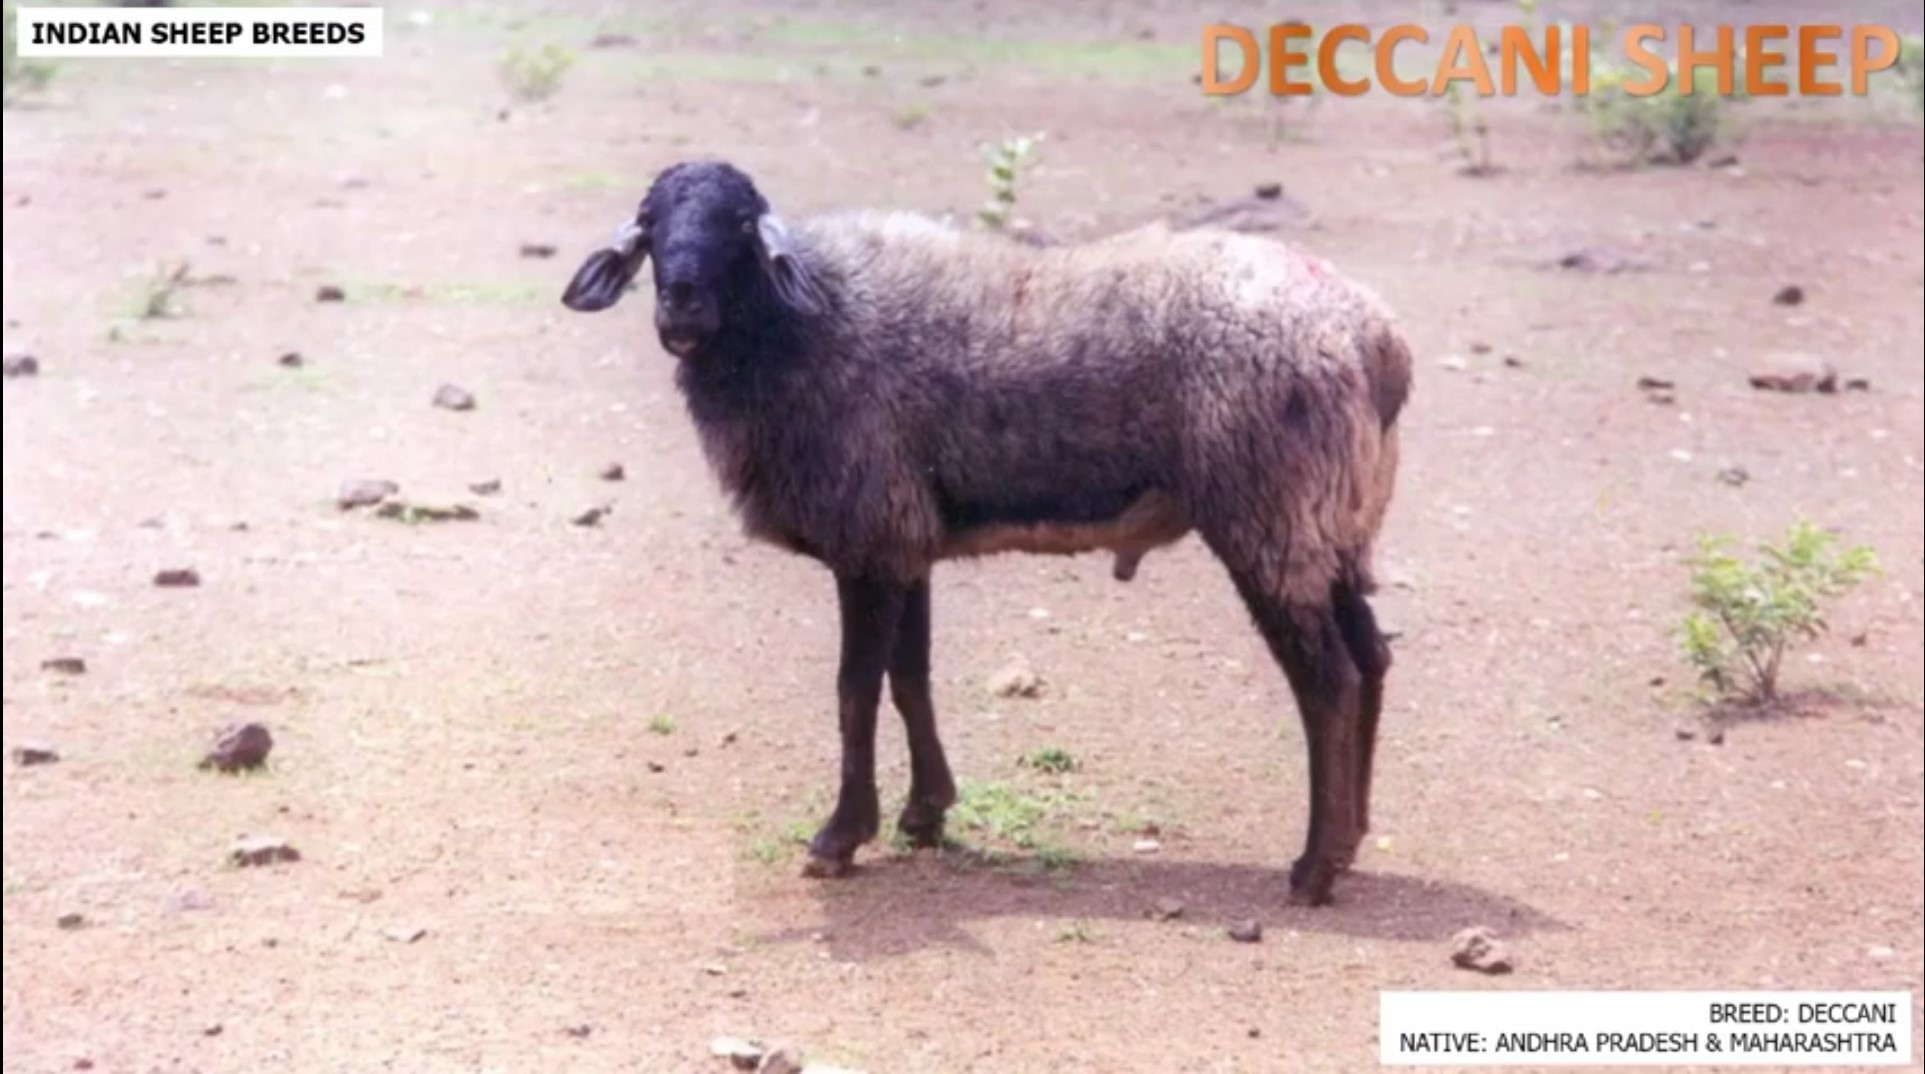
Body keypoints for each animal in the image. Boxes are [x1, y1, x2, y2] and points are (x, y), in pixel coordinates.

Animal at [560, 160, 1412, 906]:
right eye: (650, 223)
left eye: (739, 225)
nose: (680, 308)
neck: (802, 324)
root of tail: (1375, 339)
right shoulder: (902, 539)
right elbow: (909, 678)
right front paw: (923, 813)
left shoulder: (867, 534)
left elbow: (854, 690)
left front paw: (839, 837)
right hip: (1330, 521)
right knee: (1370, 659)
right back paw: (1352, 839)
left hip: (1272, 514)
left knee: (1327, 681)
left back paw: (1313, 869)